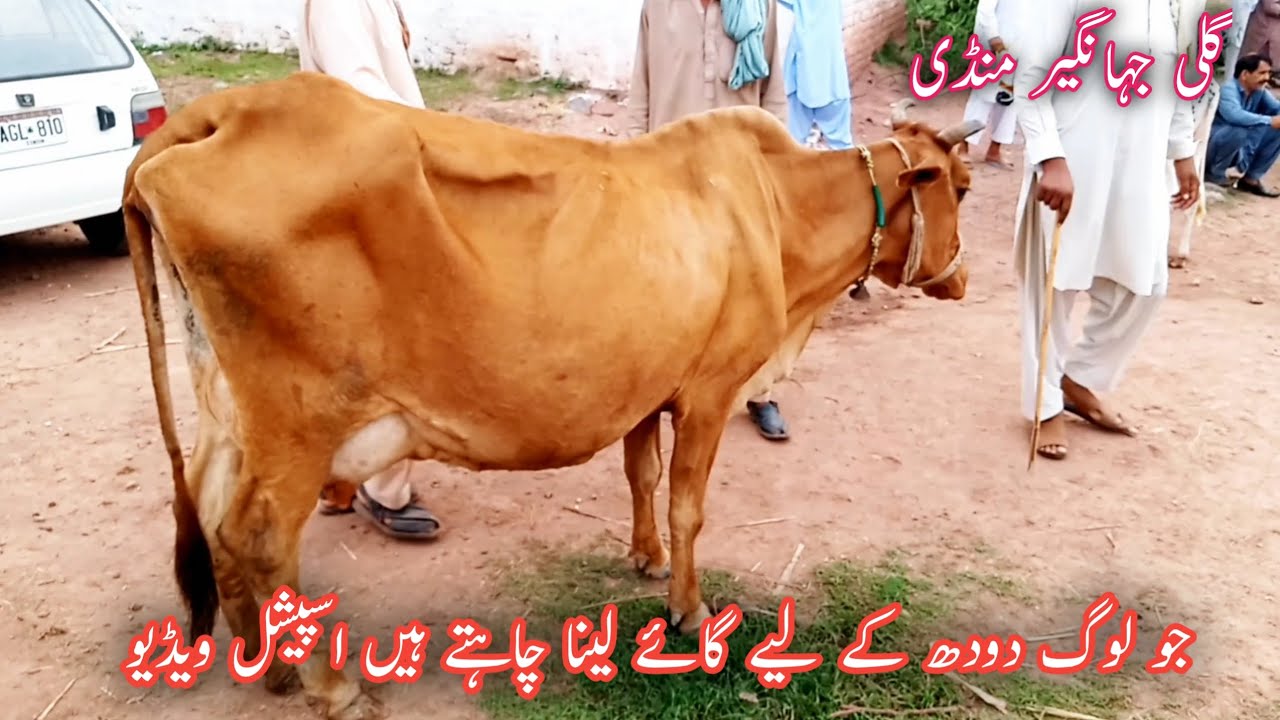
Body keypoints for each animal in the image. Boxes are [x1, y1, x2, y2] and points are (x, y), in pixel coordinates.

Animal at [120, 71, 981, 719]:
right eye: (965, 188)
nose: (964, 277)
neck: (774, 209)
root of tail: (221, 112)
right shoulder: (709, 390)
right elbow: (688, 506)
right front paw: (690, 611)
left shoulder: (649, 386)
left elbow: (641, 476)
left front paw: (645, 558)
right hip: (298, 423)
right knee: (260, 535)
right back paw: (327, 684)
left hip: (228, 408)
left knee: (212, 513)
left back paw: (261, 659)